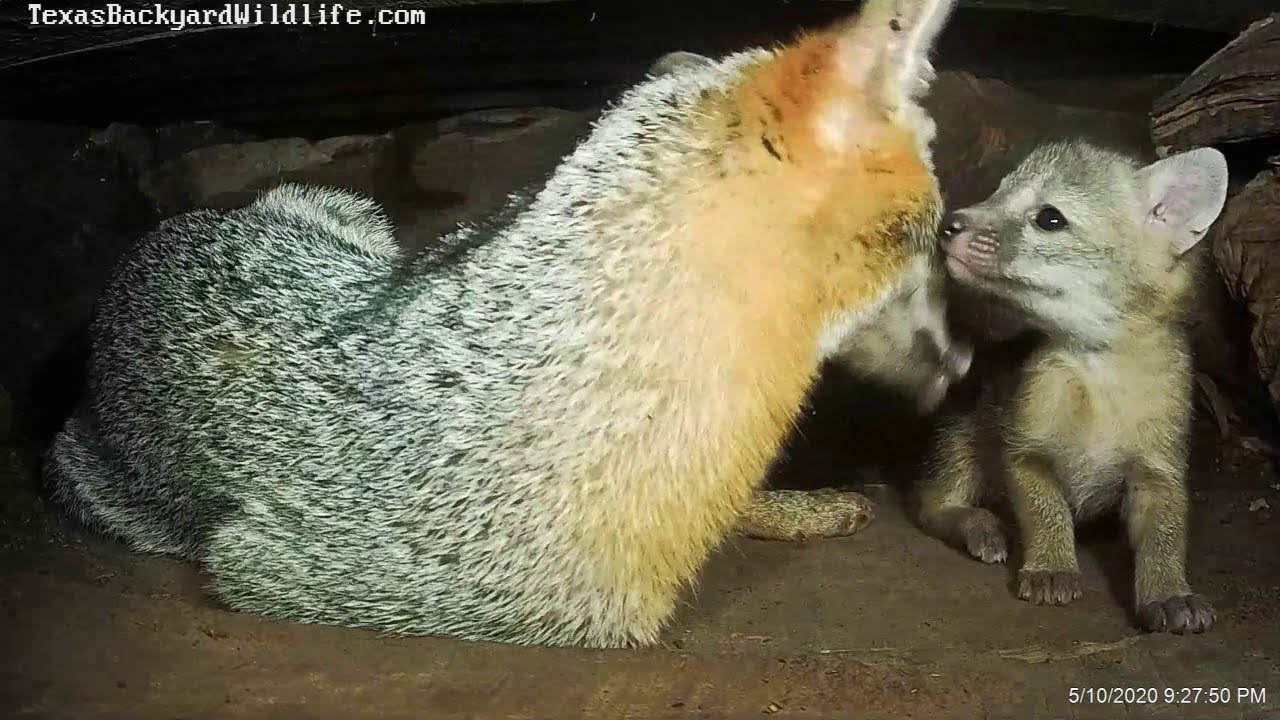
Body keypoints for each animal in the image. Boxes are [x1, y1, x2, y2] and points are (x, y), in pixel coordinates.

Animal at [917, 139, 1229, 634]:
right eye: (999, 190)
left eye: (1050, 218)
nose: (949, 223)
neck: (1098, 381)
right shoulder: (1025, 451)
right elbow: (1051, 511)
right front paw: (1051, 567)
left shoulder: (1159, 470)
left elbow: (1166, 537)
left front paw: (1169, 593)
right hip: (961, 446)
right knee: (931, 505)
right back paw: (980, 526)